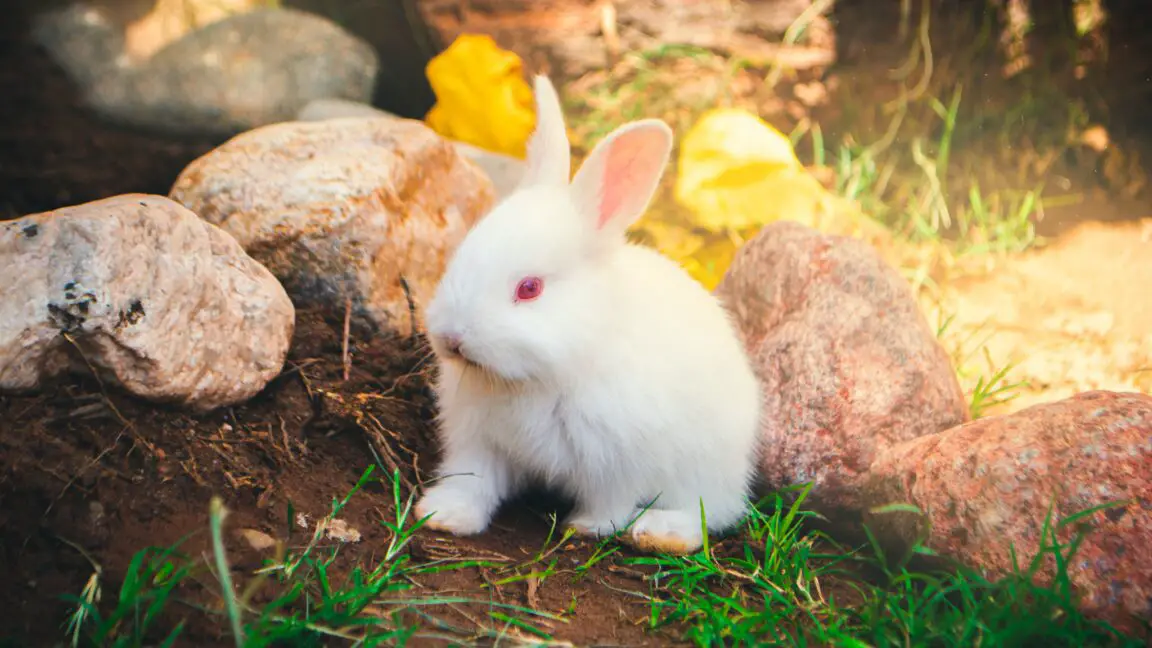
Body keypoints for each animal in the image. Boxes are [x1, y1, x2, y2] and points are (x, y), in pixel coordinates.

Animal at [413, 74, 763, 555]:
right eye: (460, 253)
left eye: (529, 289)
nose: (450, 338)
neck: (535, 377)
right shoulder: (477, 442)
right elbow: (472, 482)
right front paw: (444, 516)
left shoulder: (617, 462)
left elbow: (610, 502)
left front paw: (587, 528)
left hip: (704, 469)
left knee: (711, 512)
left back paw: (661, 534)